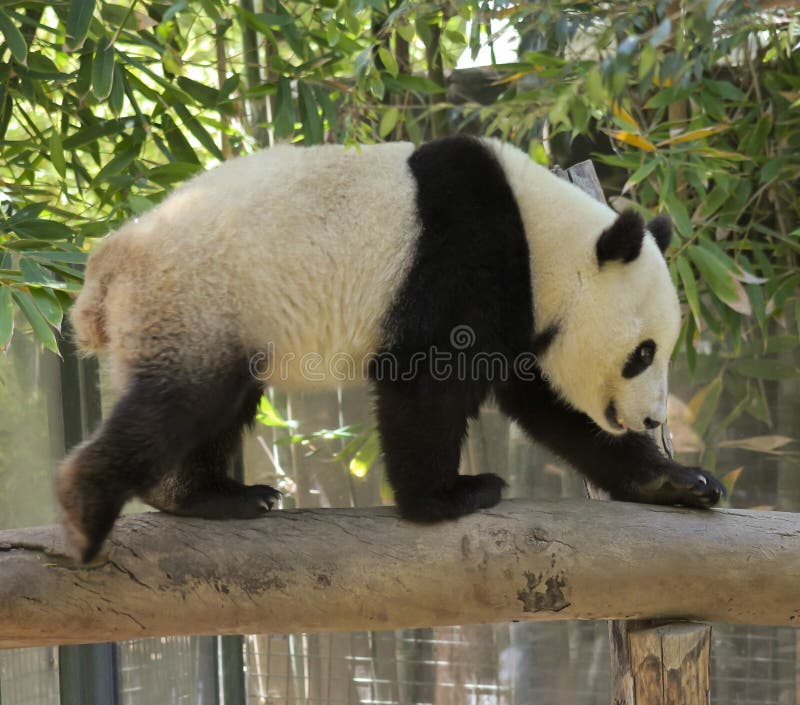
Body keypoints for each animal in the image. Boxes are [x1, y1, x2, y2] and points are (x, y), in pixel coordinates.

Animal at [58, 135, 724, 563]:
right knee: (182, 402)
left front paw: (679, 482)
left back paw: (205, 496)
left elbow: (550, 407)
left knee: (218, 404)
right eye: (642, 353)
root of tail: (109, 265)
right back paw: (88, 507)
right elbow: (426, 378)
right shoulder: (466, 255)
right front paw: (448, 497)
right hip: (200, 295)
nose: (652, 419)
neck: (547, 241)